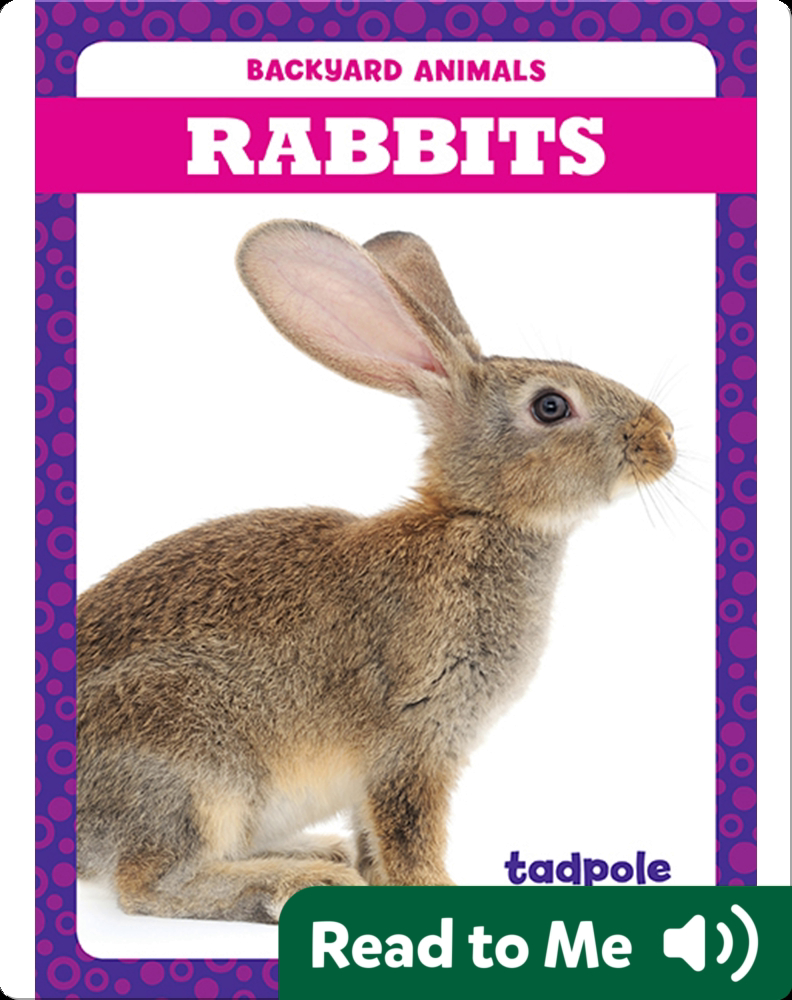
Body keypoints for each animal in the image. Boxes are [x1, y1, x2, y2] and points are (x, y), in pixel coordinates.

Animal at [76, 219, 676, 923]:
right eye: (551, 407)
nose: (663, 438)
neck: (477, 519)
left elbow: (375, 836)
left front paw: (380, 878)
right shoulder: (414, 735)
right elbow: (409, 830)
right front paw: (439, 894)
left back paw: (317, 856)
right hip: (191, 760)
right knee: (149, 884)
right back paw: (295, 883)